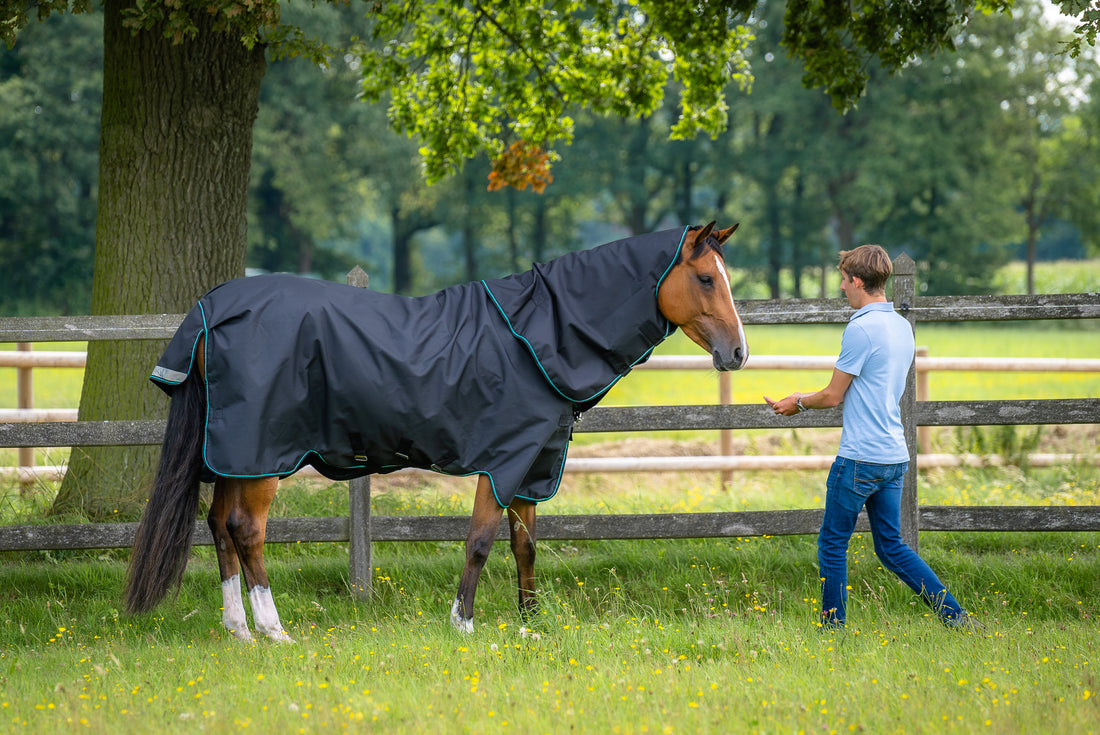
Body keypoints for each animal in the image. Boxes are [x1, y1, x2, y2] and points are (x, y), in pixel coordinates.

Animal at [123, 222, 748, 641]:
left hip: (236, 454)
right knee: (245, 530)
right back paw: (275, 631)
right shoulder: (503, 462)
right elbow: (479, 542)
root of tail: (211, 307)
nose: (738, 353)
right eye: (703, 278)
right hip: (262, 454)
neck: (539, 334)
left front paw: (530, 623)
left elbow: (525, 545)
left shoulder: (535, 465)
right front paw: (463, 624)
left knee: (218, 526)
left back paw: (240, 629)